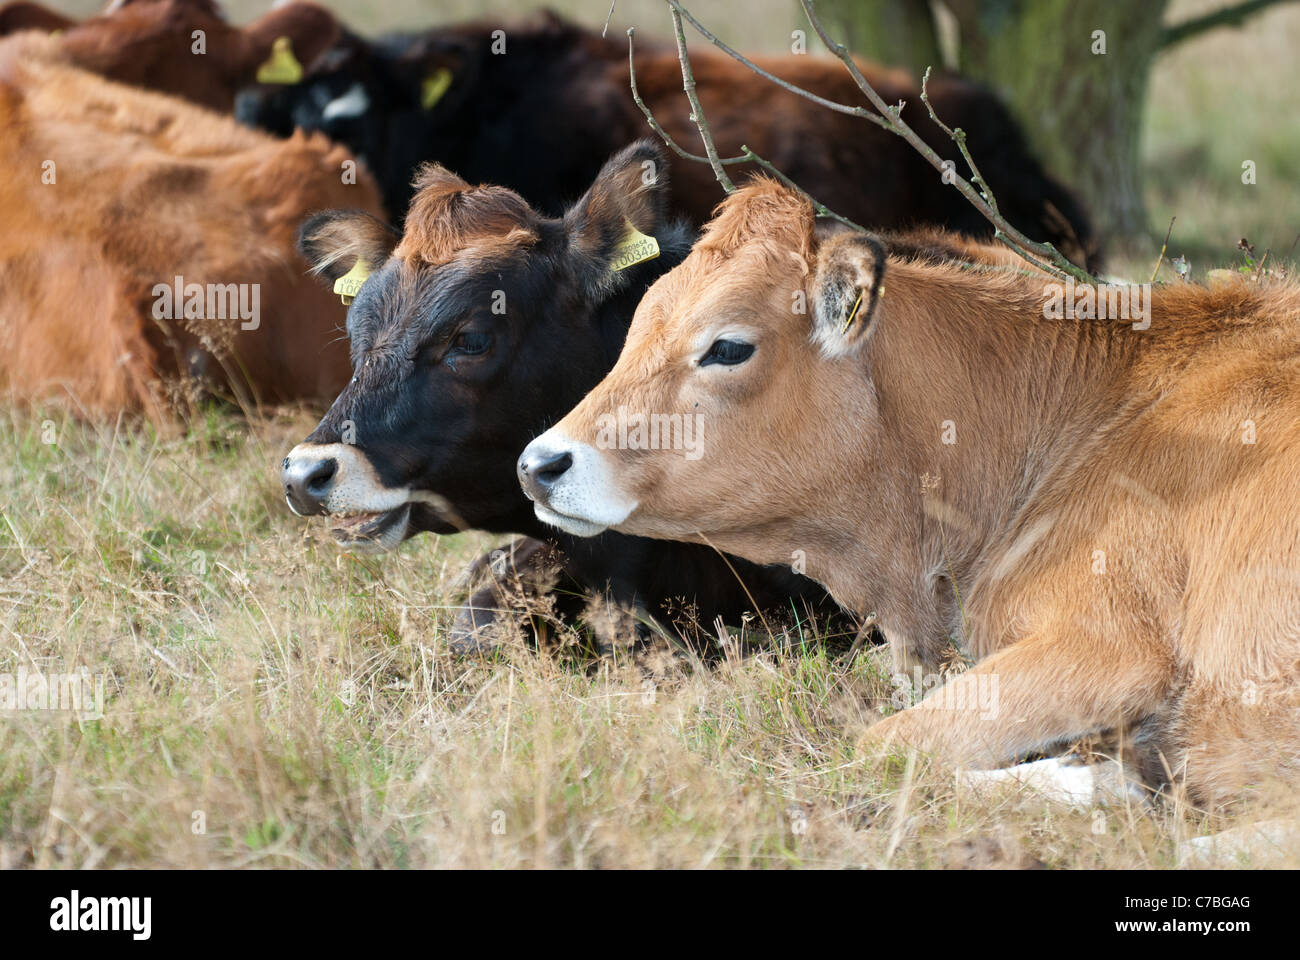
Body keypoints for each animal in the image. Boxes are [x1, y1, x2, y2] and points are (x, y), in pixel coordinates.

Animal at [518, 177, 1300, 807]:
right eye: (637, 326)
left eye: (729, 347)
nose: (540, 463)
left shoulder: (1106, 644)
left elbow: (880, 747)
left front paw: (1103, 781)